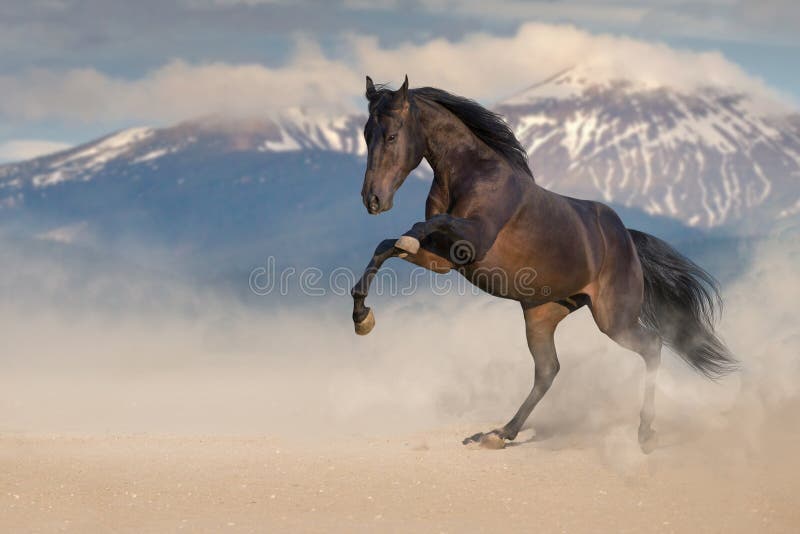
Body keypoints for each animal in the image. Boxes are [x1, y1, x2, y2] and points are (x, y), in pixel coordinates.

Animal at [350, 75, 736, 452]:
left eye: (392, 135)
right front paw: (362, 318)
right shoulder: (442, 260)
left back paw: (644, 434)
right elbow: (385, 247)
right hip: (542, 313)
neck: (472, 174)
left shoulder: (472, 240)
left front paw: (402, 247)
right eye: (367, 135)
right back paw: (500, 434)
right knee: (548, 370)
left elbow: (417, 230)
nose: (372, 200)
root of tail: (627, 239)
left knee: (652, 346)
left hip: (614, 319)